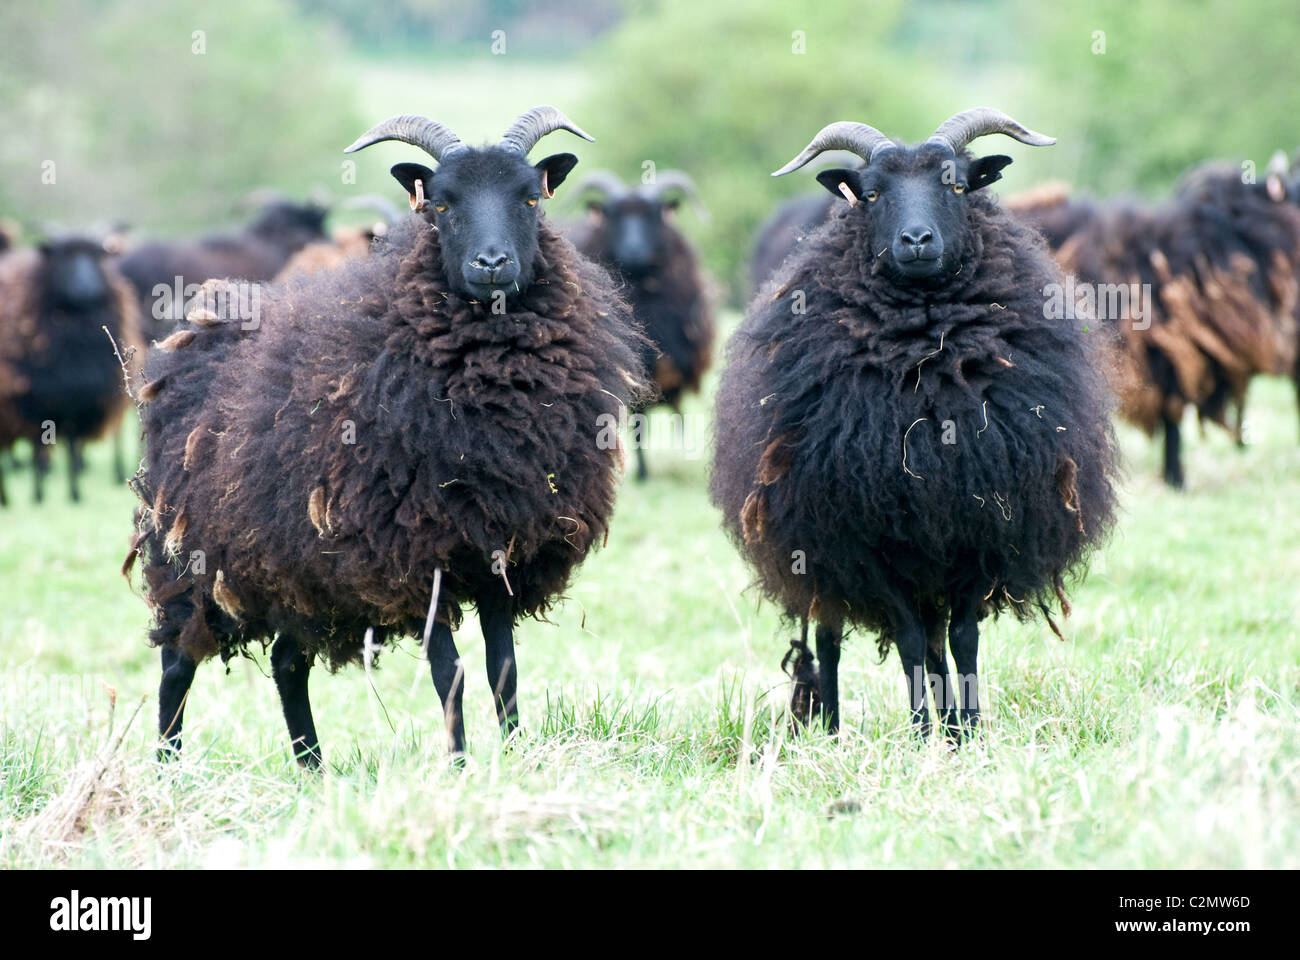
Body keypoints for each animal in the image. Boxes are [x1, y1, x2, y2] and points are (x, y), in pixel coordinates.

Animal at [0, 229, 143, 505]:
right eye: (64, 257)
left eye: (97, 255)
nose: (86, 286)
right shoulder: (36, 402)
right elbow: (39, 451)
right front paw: (38, 496)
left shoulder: (79, 401)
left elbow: (73, 446)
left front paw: (74, 493)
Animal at [566, 170, 715, 480]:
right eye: (612, 215)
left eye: (654, 215)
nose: (633, 250)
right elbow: (637, 427)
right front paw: (643, 474)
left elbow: (667, 418)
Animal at [710, 109, 1119, 737]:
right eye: (871, 193)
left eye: (957, 184)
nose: (918, 241)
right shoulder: (869, 541)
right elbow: (903, 640)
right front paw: (922, 730)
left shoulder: (982, 528)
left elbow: (962, 638)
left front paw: (966, 731)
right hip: (821, 550)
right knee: (831, 638)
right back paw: (833, 728)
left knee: (934, 640)